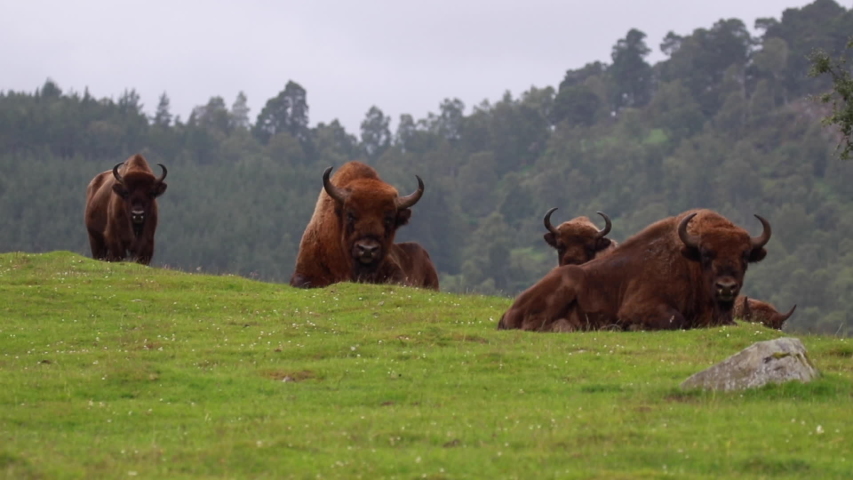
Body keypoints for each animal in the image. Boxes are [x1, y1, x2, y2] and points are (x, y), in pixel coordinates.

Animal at [498, 209, 771, 332]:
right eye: (706, 253)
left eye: (745, 255)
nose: (726, 287)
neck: (687, 260)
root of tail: (508, 311)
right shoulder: (638, 306)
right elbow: (676, 320)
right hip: (567, 282)